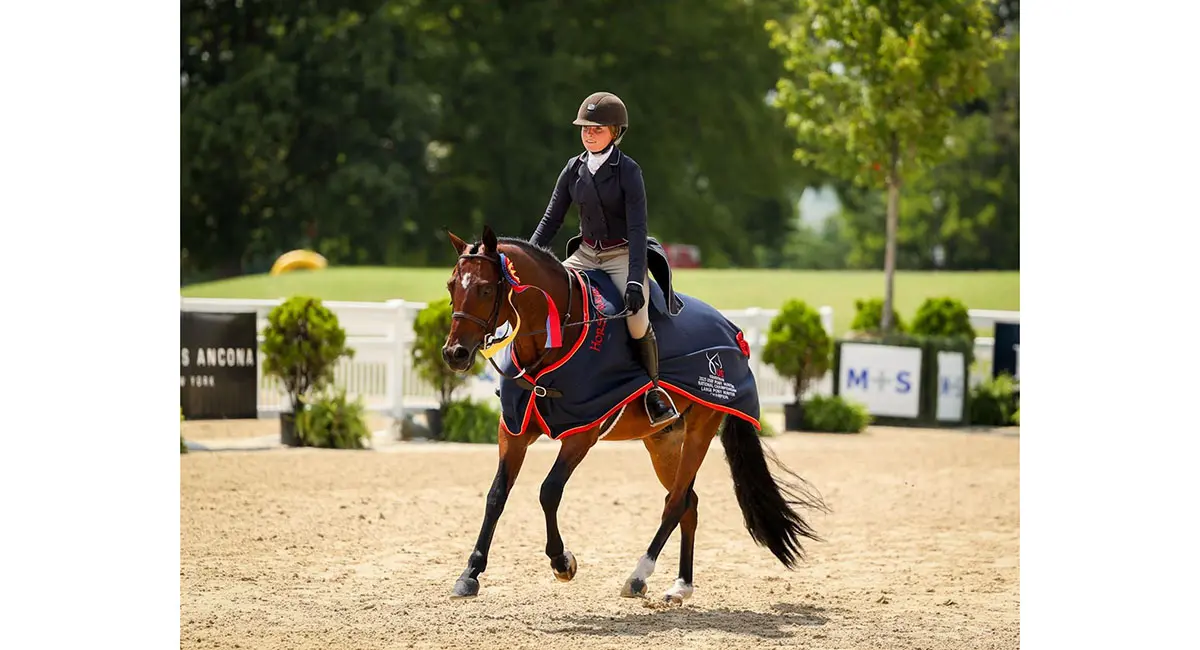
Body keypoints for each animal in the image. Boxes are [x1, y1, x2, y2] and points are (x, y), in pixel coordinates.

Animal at [440, 224, 828, 604]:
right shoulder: (514, 430)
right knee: (689, 503)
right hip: (663, 441)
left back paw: (639, 576)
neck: (552, 340)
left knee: (676, 502)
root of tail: (735, 333)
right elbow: (496, 495)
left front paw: (562, 562)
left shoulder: (582, 433)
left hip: (701, 430)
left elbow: (548, 491)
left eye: (486, 289)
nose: (455, 354)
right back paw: (680, 585)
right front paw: (470, 573)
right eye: (451, 286)